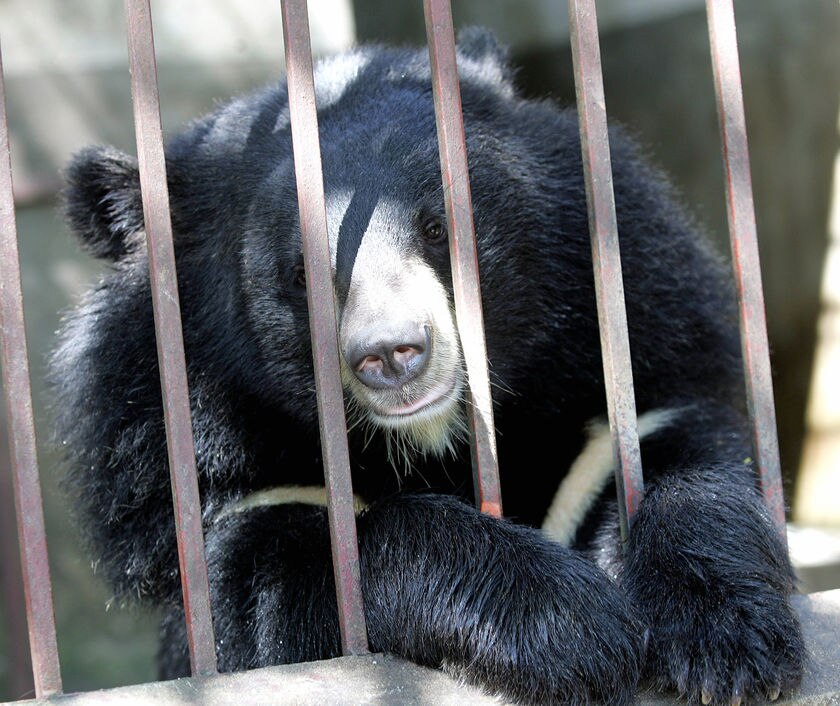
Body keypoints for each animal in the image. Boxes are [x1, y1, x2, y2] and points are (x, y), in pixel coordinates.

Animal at [51, 28, 804, 705]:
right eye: (300, 274)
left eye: (438, 229)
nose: (394, 354)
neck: (430, 441)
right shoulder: (185, 461)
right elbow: (273, 581)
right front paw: (573, 627)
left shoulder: (635, 320)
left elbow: (671, 456)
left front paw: (729, 643)